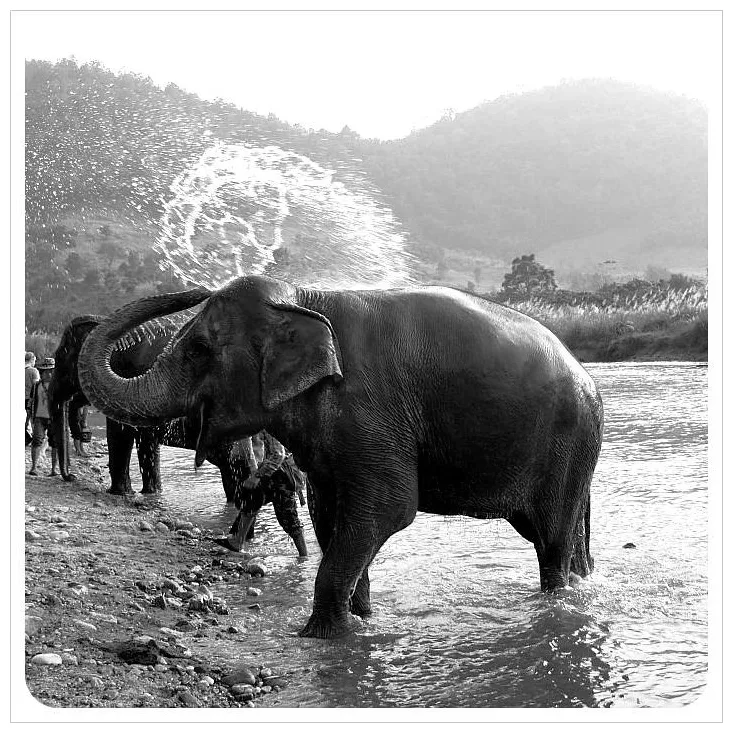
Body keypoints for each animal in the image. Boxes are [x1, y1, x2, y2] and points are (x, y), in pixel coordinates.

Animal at [77, 275, 604, 639]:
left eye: (199, 349)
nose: (195, 287)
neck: (307, 299)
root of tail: (586, 375)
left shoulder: (372, 414)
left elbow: (389, 509)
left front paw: (321, 637)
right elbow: (331, 516)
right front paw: (361, 620)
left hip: (567, 443)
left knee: (552, 541)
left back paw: (559, 601)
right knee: (560, 536)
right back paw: (581, 583)